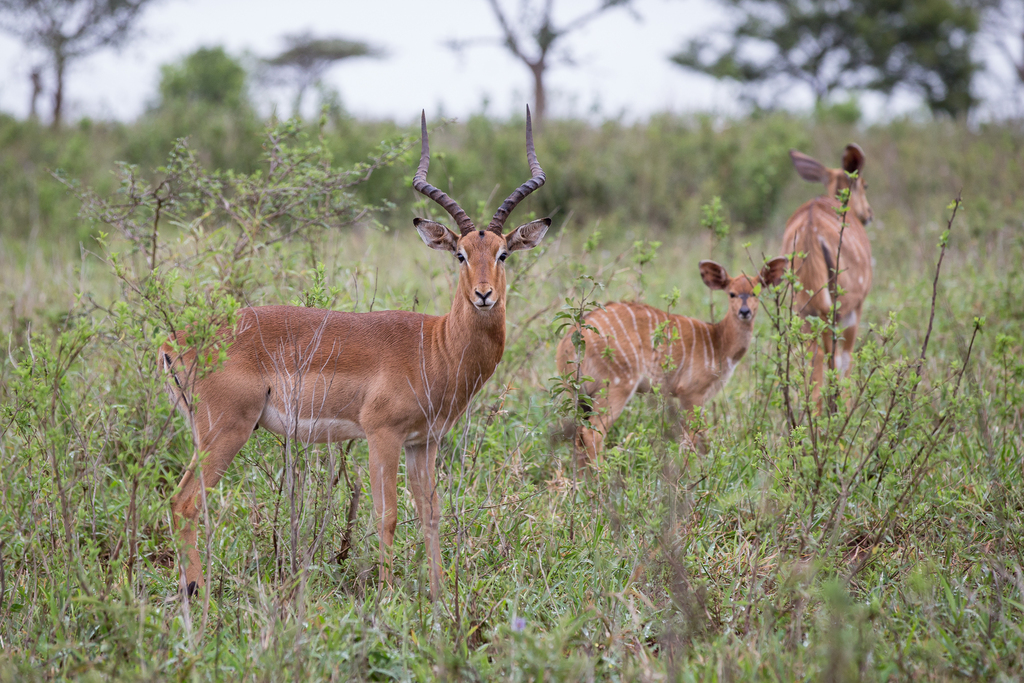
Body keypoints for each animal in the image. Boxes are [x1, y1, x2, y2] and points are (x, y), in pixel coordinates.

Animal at [161, 109, 549, 600]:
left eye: (503, 254)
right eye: (460, 254)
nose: (484, 295)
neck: (434, 345)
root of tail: (176, 341)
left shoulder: (424, 442)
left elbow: (431, 512)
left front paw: (439, 594)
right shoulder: (382, 435)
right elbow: (387, 515)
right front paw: (386, 596)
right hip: (225, 430)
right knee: (184, 503)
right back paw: (197, 593)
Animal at [556, 257, 787, 462]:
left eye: (757, 292)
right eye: (732, 293)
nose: (745, 311)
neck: (718, 343)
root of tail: (569, 342)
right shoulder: (691, 392)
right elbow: (696, 440)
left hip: (578, 393)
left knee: (578, 435)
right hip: (616, 385)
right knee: (593, 433)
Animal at [783, 144, 873, 402]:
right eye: (864, 185)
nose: (869, 214)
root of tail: (809, 231)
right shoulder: (855, 307)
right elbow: (847, 358)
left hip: (804, 309)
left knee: (815, 357)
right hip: (836, 306)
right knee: (833, 356)